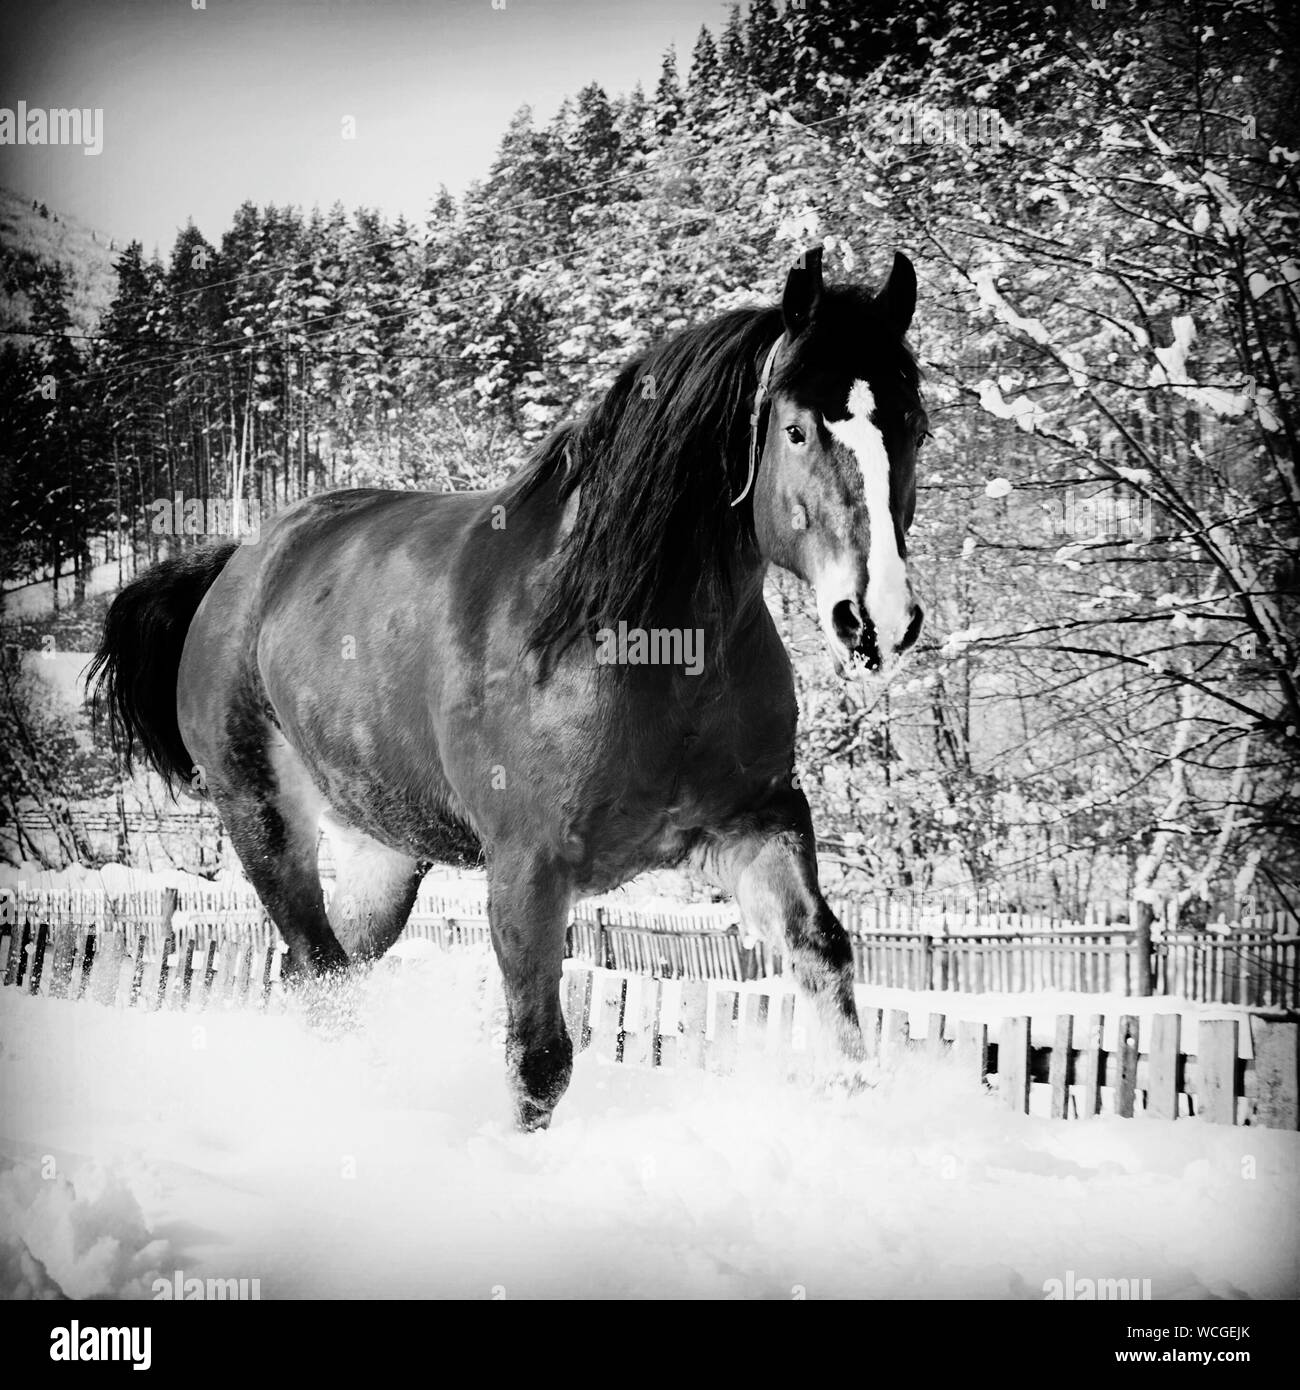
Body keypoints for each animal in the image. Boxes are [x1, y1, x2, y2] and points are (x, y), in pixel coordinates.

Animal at [88, 247, 928, 1130]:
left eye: (914, 425)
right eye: (795, 429)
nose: (878, 617)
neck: (629, 642)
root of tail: (237, 566)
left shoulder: (757, 823)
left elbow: (824, 956)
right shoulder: (527, 867)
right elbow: (539, 1061)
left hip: (383, 851)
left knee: (329, 969)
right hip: (262, 819)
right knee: (318, 969)